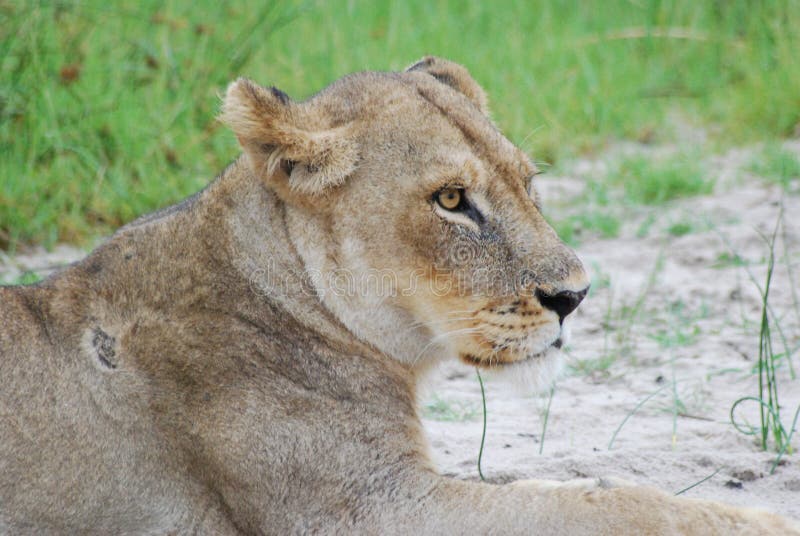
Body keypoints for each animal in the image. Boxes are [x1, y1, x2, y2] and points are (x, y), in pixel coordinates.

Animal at [0, 57, 796, 534]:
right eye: (450, 200)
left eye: (526, 182)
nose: (575, 295)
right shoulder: (366, 509)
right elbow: (610, 504)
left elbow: (579, 487)